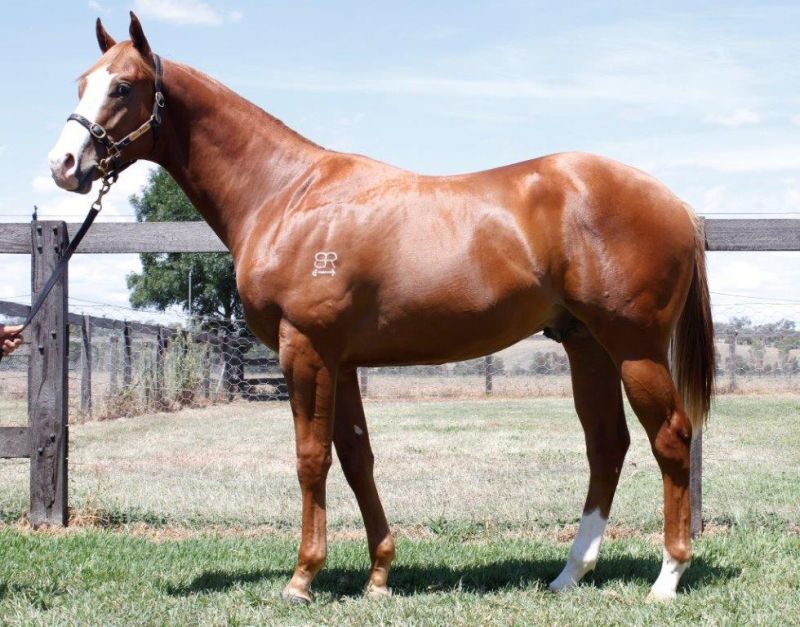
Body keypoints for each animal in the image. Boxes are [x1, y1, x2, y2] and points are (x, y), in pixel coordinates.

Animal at [48, 13, 714, 603]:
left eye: (122, 86)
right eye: (81, 81)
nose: (64, 165)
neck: (288, 195)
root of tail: (675, 203)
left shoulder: (305, 350)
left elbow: (311, 458)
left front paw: (302, 578)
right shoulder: (340, 361)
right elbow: (357, 459)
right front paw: (378, 575)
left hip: (634, 348)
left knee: (671, 437)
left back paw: (667, 577)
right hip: (587, 345)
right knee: (607, 444)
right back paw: (569, 574)